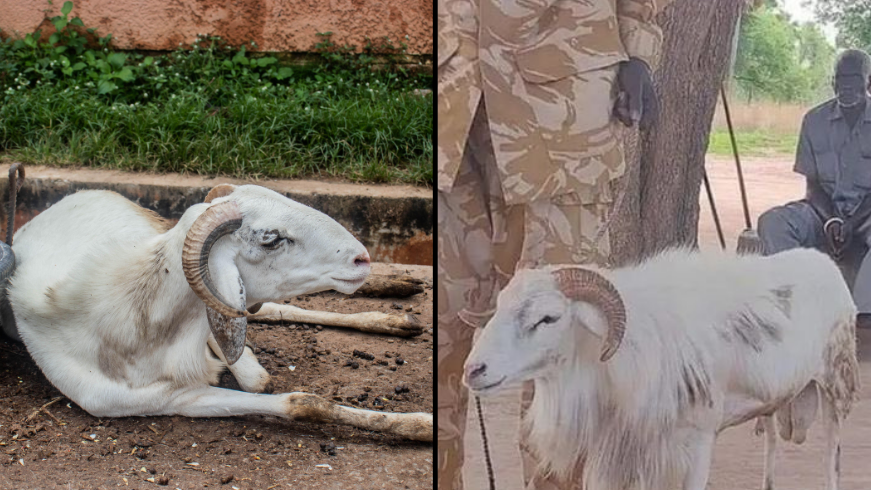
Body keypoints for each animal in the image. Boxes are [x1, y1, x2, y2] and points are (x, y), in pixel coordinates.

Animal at [3, 183, 431, 441]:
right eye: (272, 239)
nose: (362, 258)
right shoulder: (174, 401)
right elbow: (302, 403)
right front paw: (422, 425)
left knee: (272, 309)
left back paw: (398, 300)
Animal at [463, 247, 859, 490]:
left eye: (548, 318)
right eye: (499, 307)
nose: (473, 370)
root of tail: (826, 262)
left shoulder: (699, 442)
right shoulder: (626, 450)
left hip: (837, 388)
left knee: (834, 458)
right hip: (775, 405)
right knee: (773, 444)